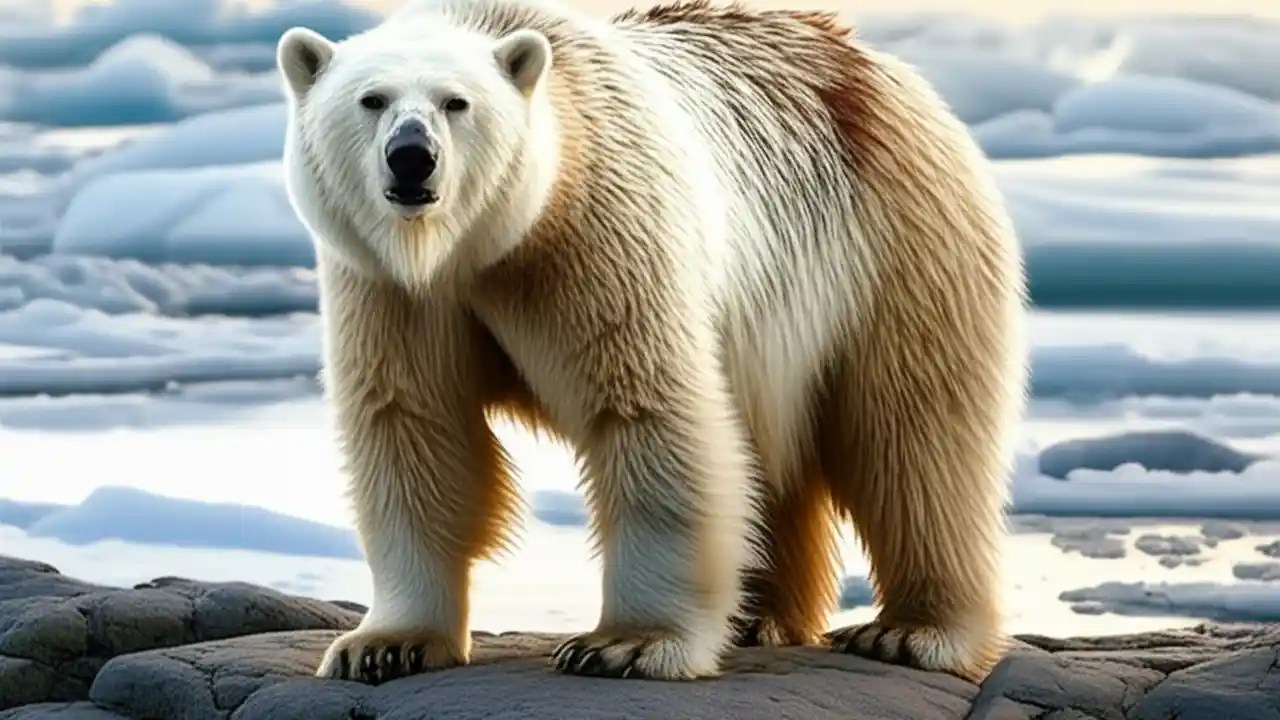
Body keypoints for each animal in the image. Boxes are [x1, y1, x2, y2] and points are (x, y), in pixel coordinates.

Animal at [275, 0, 1027, 685]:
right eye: (372, 99)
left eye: (456, 102)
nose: (412, 158)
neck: (485, 241)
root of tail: (874, 64)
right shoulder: (390, 287)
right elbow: (411, 427)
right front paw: (383, 645)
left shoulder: (599, 227)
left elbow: (645, 410)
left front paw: (625, 645)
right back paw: (758, 618)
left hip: (895, 244)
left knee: (914, 435)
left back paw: (910, 631)